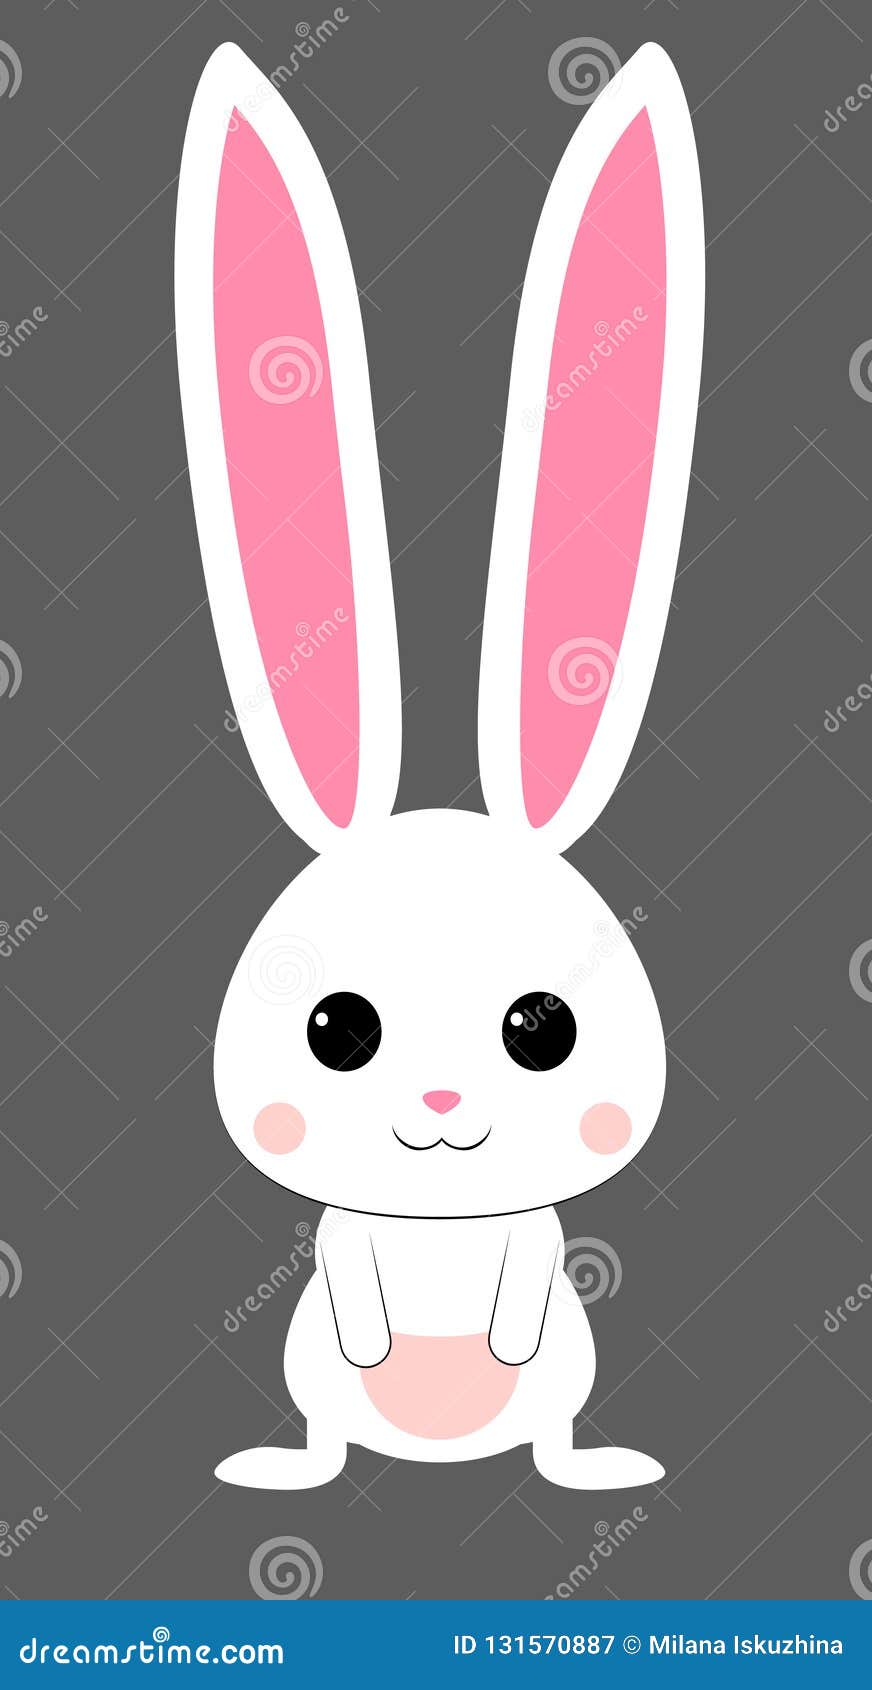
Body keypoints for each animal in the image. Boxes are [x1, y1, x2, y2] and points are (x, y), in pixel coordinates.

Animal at [174, 39, 704, 1491]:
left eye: (545, 1028)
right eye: (335, 1029)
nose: (444, 1097)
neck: (439, 1213)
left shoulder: (530, 1231)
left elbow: (534, 1252)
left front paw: (497, 1327)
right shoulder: (350, 1232)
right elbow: (346, 1255)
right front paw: (381, 1331)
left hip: (571, 1373)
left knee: (557, 1424)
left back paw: (592, 1466)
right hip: (306, 1373)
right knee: (321, 1425)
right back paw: (287, 1468)